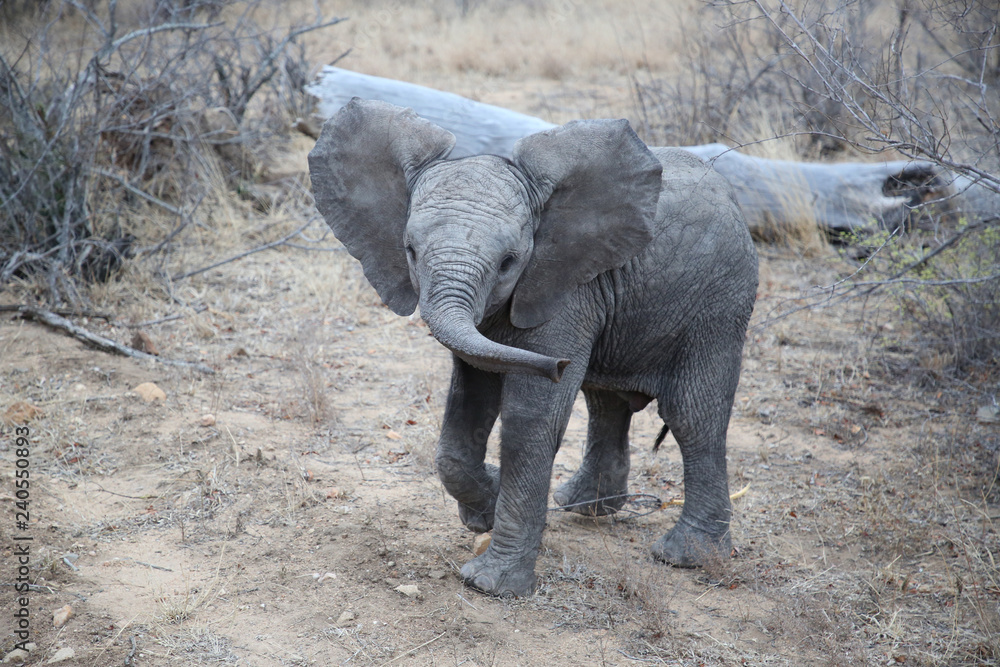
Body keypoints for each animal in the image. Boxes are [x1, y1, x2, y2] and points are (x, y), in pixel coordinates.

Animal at [308, 98, 758, 597]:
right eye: (409, 251)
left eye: (509, 262)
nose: (559, 365)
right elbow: (468, 402)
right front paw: (484, 511)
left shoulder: (566, 290)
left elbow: (531, 417)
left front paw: (491, 584)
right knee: (605, 401)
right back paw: (583, 507)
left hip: (718, 304)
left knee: (692, 416)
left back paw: (685, 556)